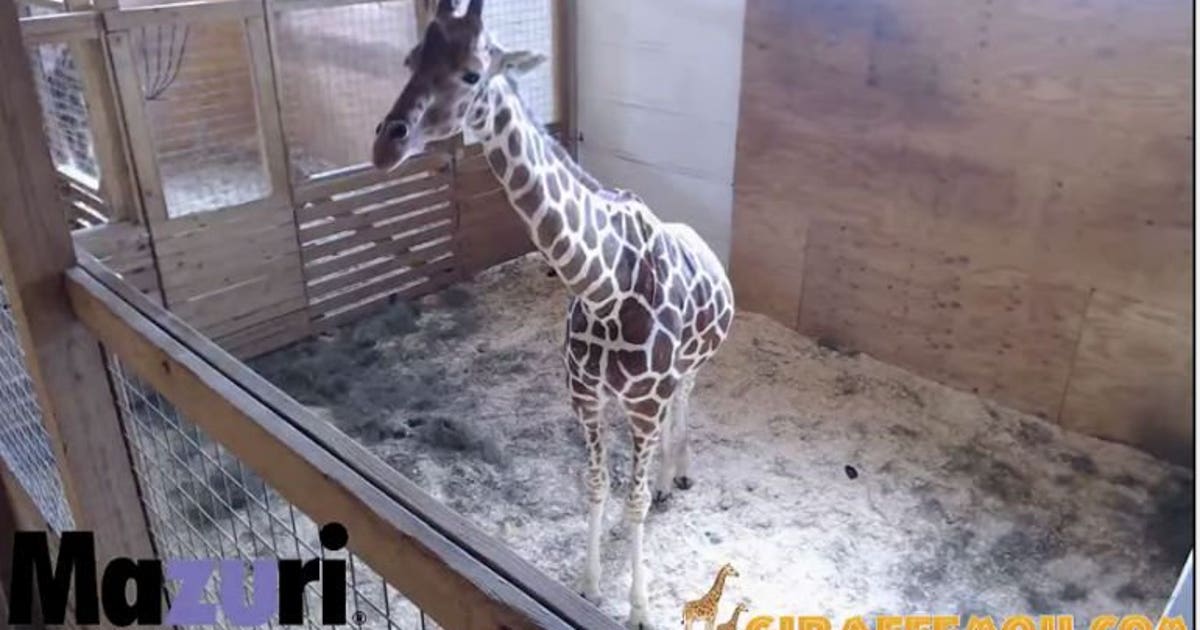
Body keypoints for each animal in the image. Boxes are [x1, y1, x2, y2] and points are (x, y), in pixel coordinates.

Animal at [371, 2, 734, 626]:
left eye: (472, 73)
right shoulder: (586, 398)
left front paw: (639, 607)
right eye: (411, 59)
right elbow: (596, 486)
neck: (604, 284)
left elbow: (634, 500)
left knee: (684, 400)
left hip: (688, 368)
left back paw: (676, 473)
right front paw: (588, 585)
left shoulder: (642, 405)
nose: (386, 145)